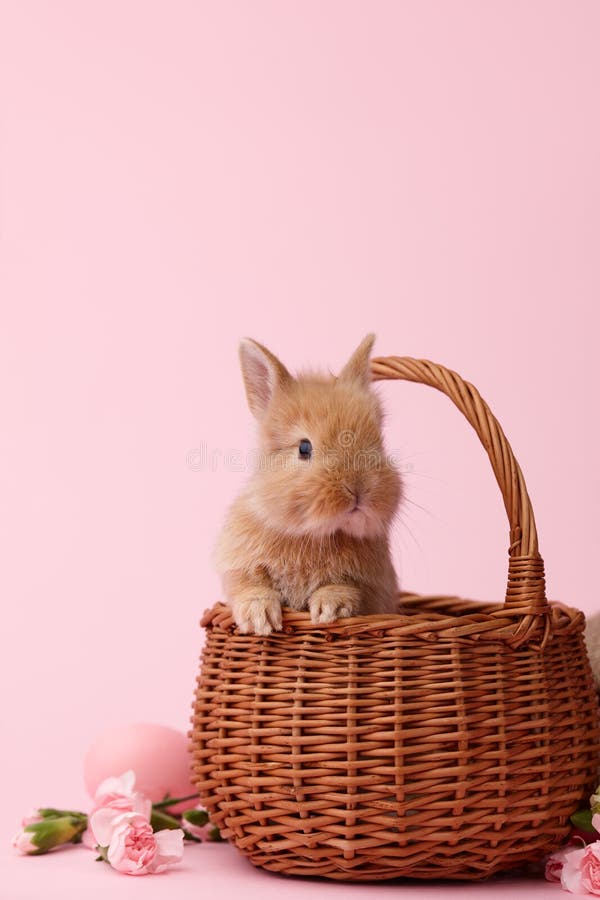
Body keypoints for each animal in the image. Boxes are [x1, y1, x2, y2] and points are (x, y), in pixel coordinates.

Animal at [213, 334, 402, 635]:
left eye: (378, 442)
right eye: (304, 447)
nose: (359, 489)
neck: (312, 535)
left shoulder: (372, 589)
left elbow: (345, 588)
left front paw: (329, 609)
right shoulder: (239, 566)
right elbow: (248, 587)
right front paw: (260, 617)